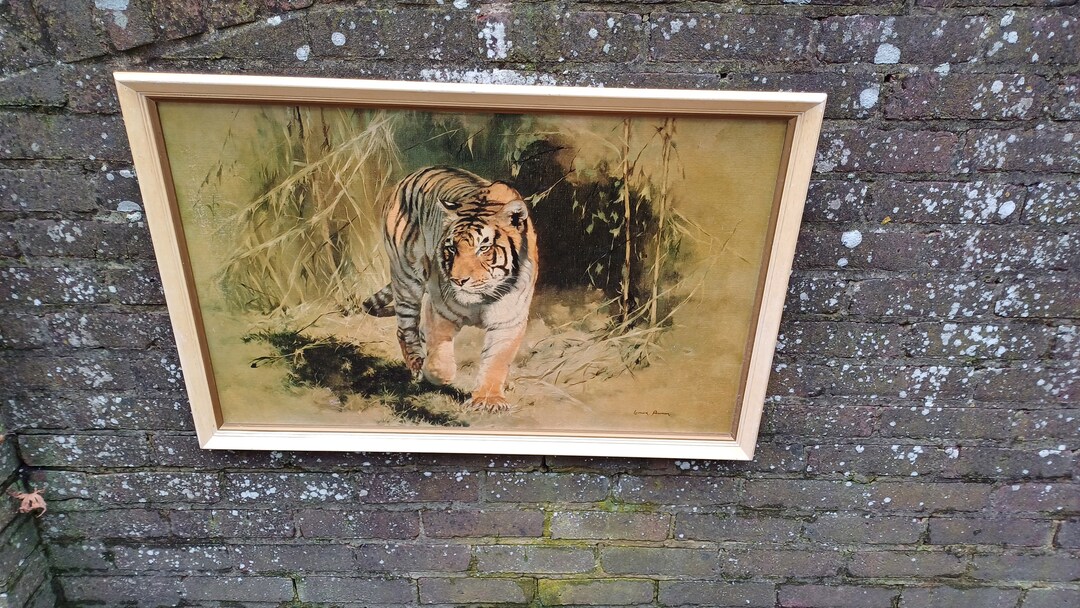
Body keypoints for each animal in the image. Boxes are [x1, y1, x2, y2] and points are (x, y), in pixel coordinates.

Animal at [362, 166, 538, 412]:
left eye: (483, 248)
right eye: (452, 248)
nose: (458, 280)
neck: (482, 298)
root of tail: (410, 176)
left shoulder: (508, 319)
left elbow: (497, 360)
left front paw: (489, 399)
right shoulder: (439, 310)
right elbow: (440, 360)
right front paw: (433, 374)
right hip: (407, 279)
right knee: (406, 329)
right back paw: (418, 366)